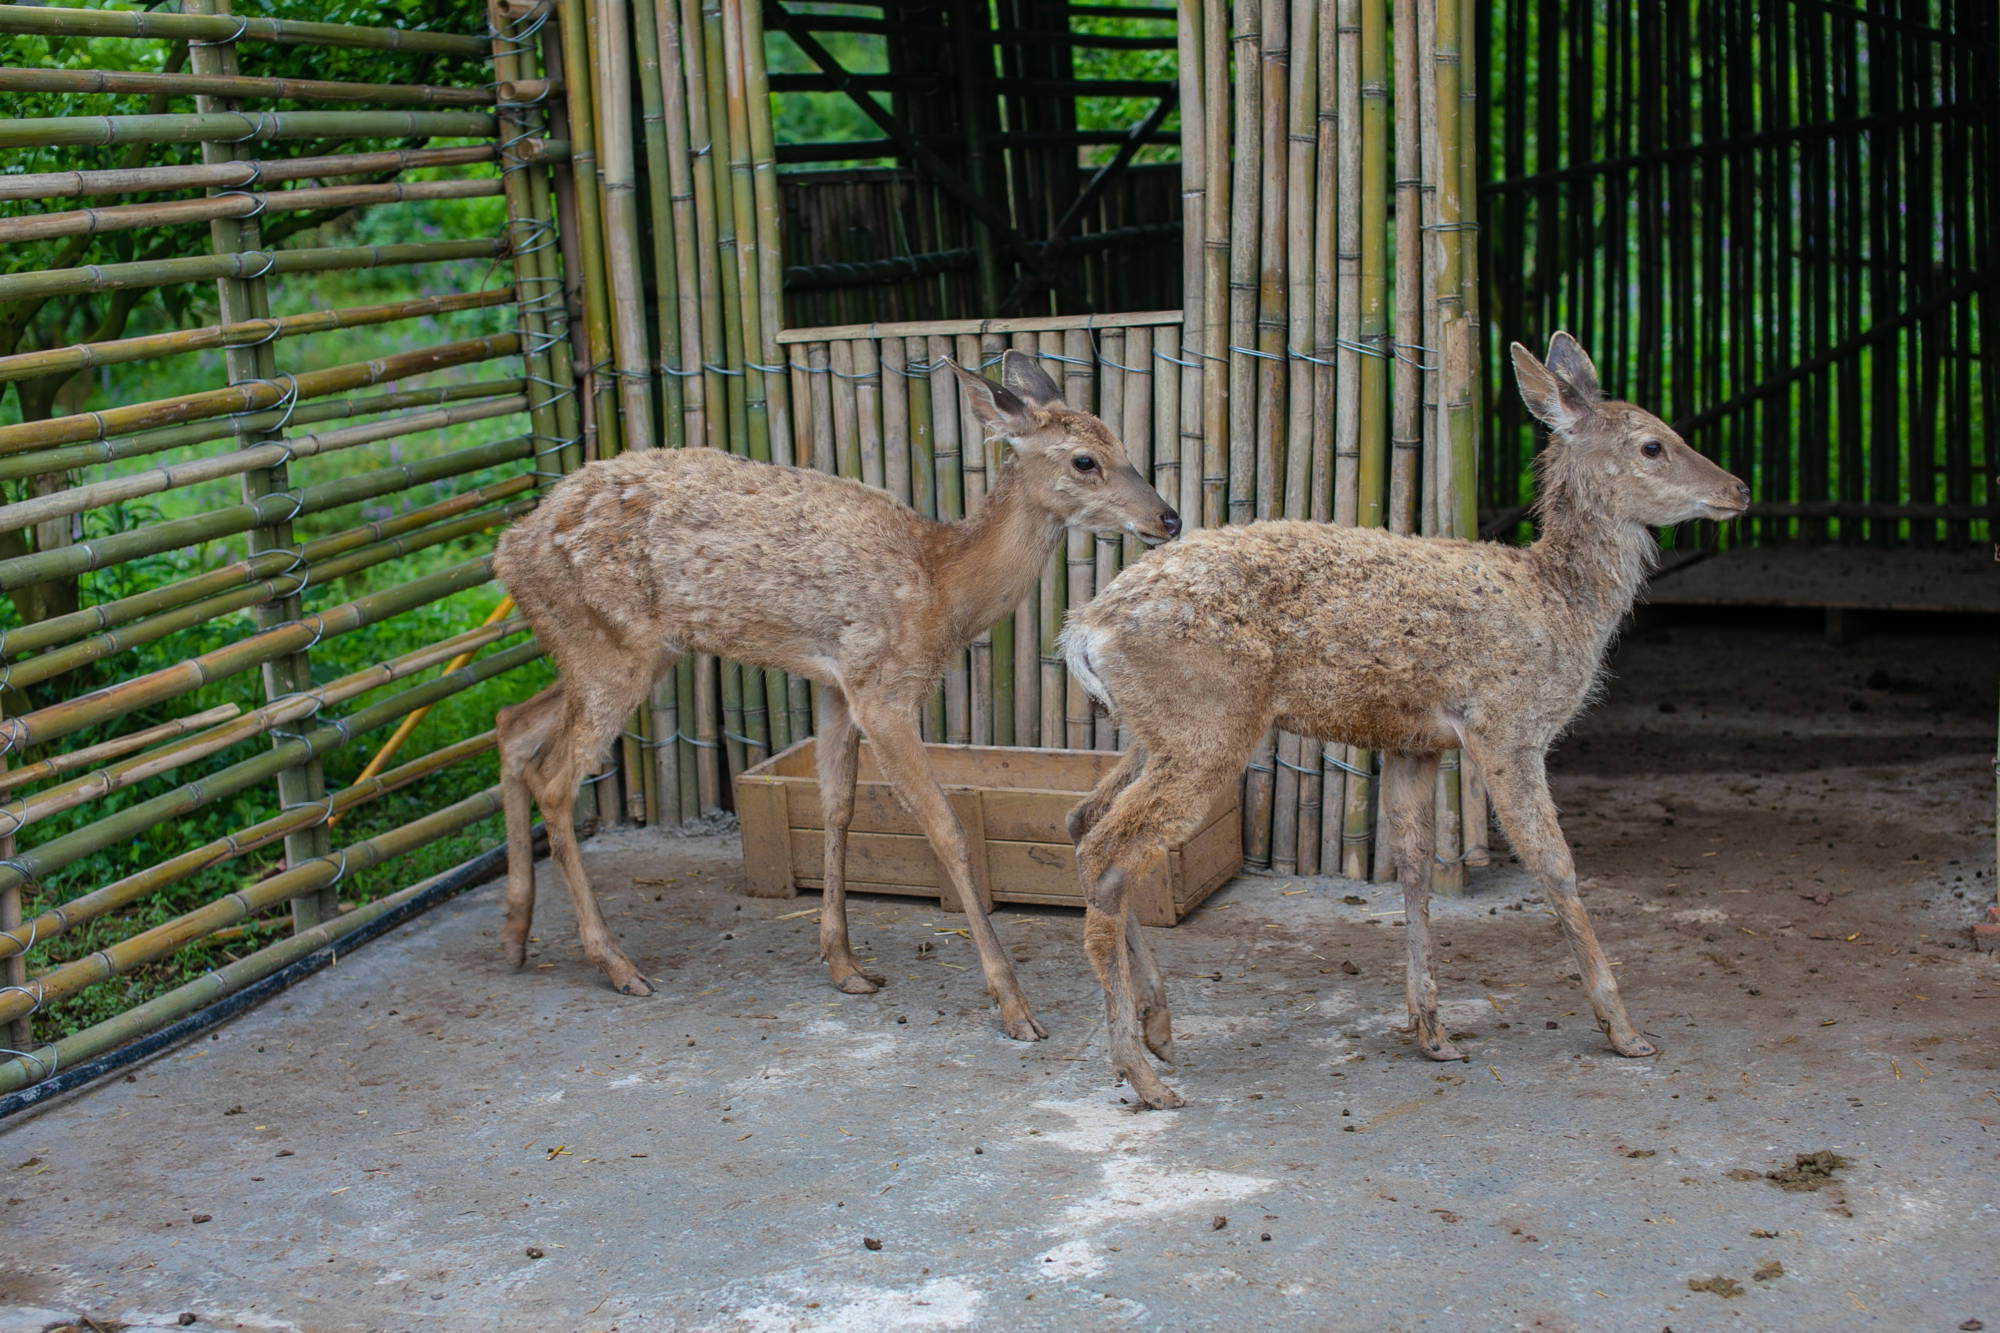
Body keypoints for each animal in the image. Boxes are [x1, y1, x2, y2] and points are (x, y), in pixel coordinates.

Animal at [491, 350, 1181, 1042]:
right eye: (1085, 460)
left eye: (1124, 443)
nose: (1169, 518)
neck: (944, 588)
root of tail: (505, 550)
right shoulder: (883, 687)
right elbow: (946, 829)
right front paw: (1014, 1006)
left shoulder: (836, 683)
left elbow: (837, 806)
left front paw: (846, 964)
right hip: (611, 650)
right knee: (554, 776)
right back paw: (616, 963)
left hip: (612, 650)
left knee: (512, 723)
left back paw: (518, 934)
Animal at [1057, 332, 1750, 1107]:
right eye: (1653, 445)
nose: (1738, 489)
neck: (1560, 609)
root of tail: (1084, 629)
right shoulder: (1505, 725)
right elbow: (1555, 865)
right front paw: (1624, 1030)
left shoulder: (1416, 743)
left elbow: (1414, 868)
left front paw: (1432, 1030)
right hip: (1206, 727)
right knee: (1108, 850)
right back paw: (1141, 1072)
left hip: (1159, 731)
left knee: (1083, 819)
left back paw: (1159, 1028)